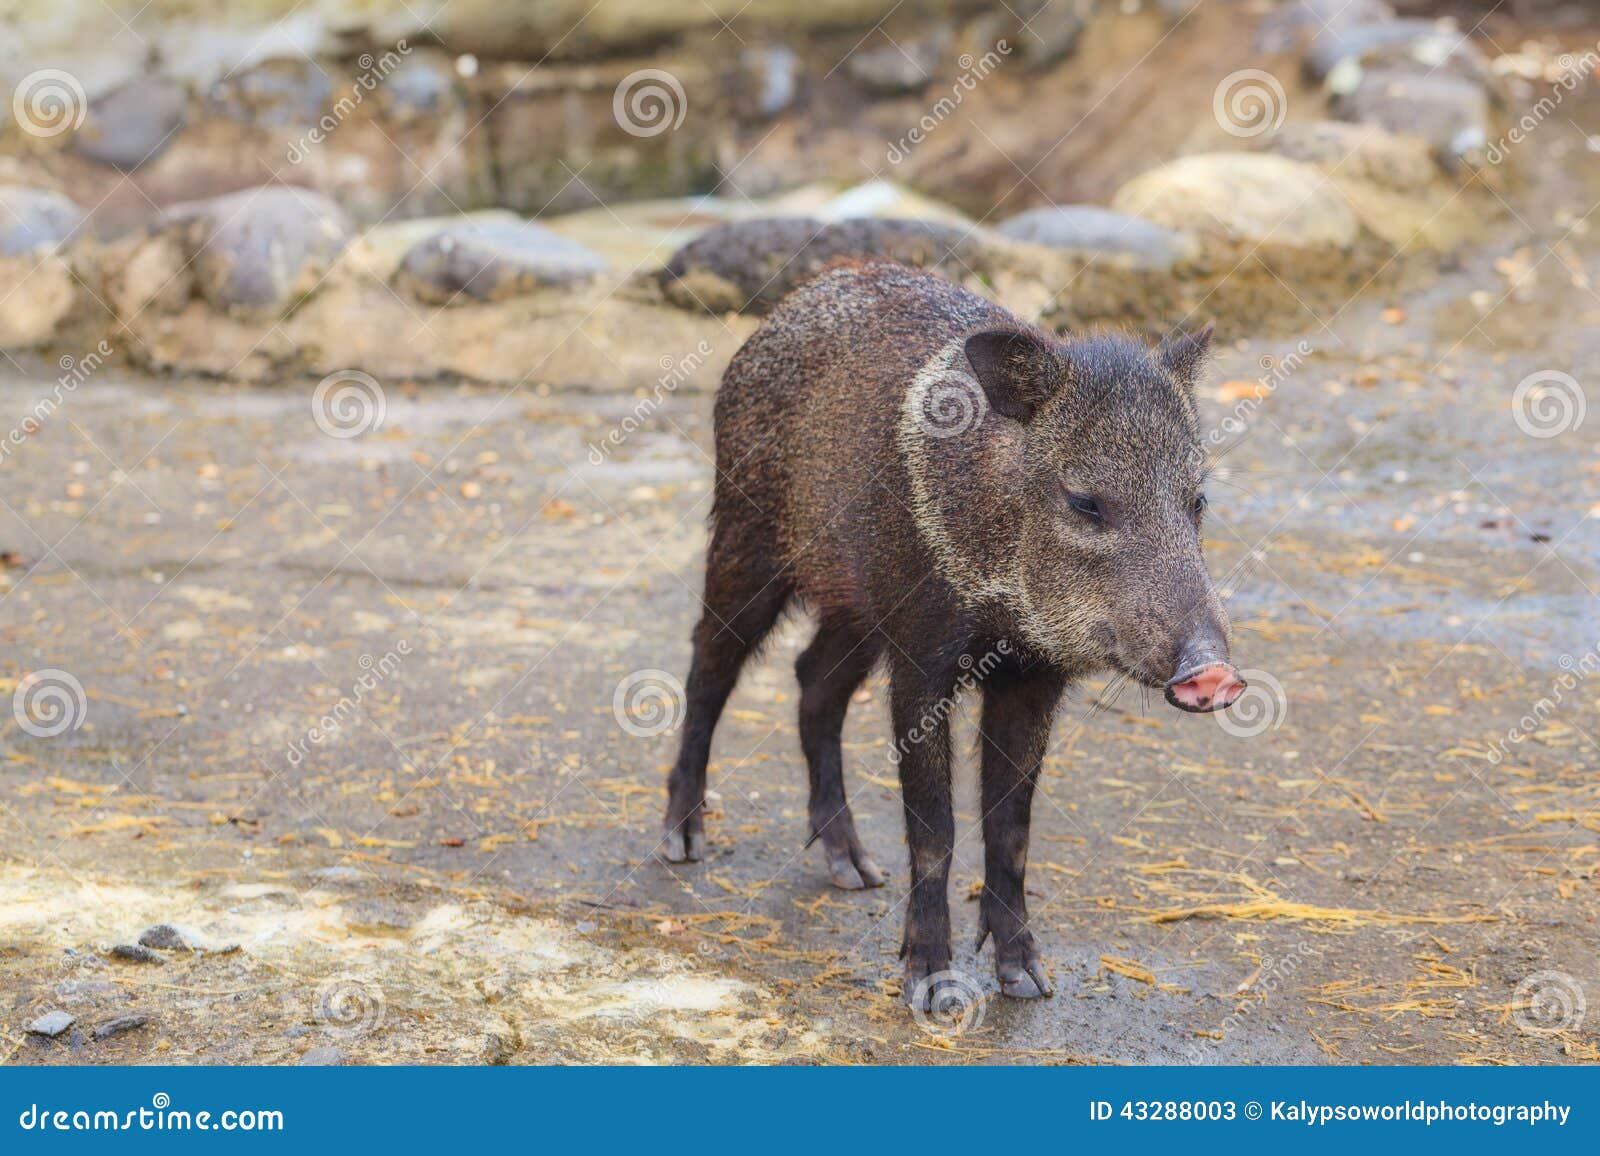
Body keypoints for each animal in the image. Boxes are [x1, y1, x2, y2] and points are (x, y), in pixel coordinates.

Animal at [659, 260, 1243, 1013]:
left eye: (1197, 501)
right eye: (1085, 503)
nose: (1214, 671)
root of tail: (783, 311)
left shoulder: (1032, 677)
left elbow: (1011, 826)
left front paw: (1027, 980)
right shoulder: (920, 661)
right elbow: (936, 827)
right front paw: (933, 988)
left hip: (855, 608)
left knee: (812, 683)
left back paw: (853, 867)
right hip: (744, 539)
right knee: (708, 669)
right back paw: (682, 840)